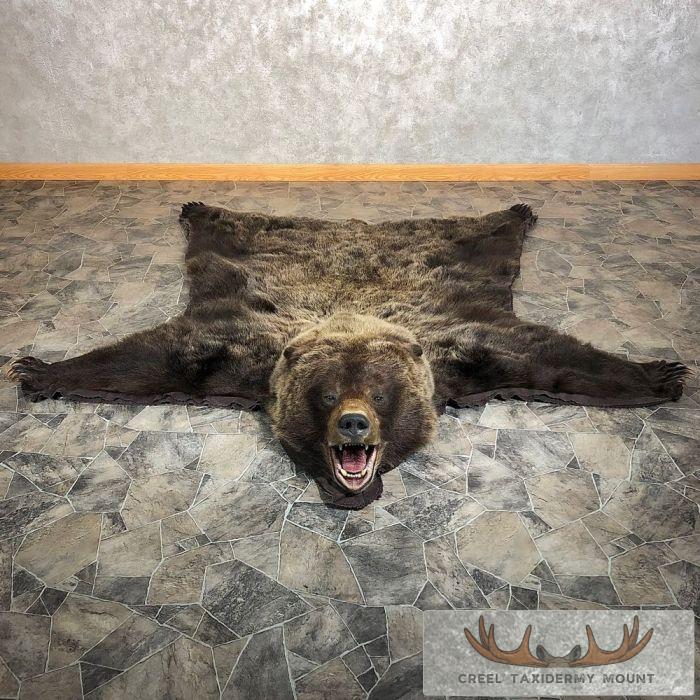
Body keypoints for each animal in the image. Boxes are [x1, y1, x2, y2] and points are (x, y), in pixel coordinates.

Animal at [8, 202, 689, 508]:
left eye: (382, 394)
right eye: (327, 395)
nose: (355, 424)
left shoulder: (467, 347)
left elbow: (552, 357)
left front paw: (662, 372)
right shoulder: (236, 348)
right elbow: (151, 359)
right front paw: (38, 368)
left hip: (463, 250)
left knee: (491, 228)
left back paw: (516, 209)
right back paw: (200, 206)